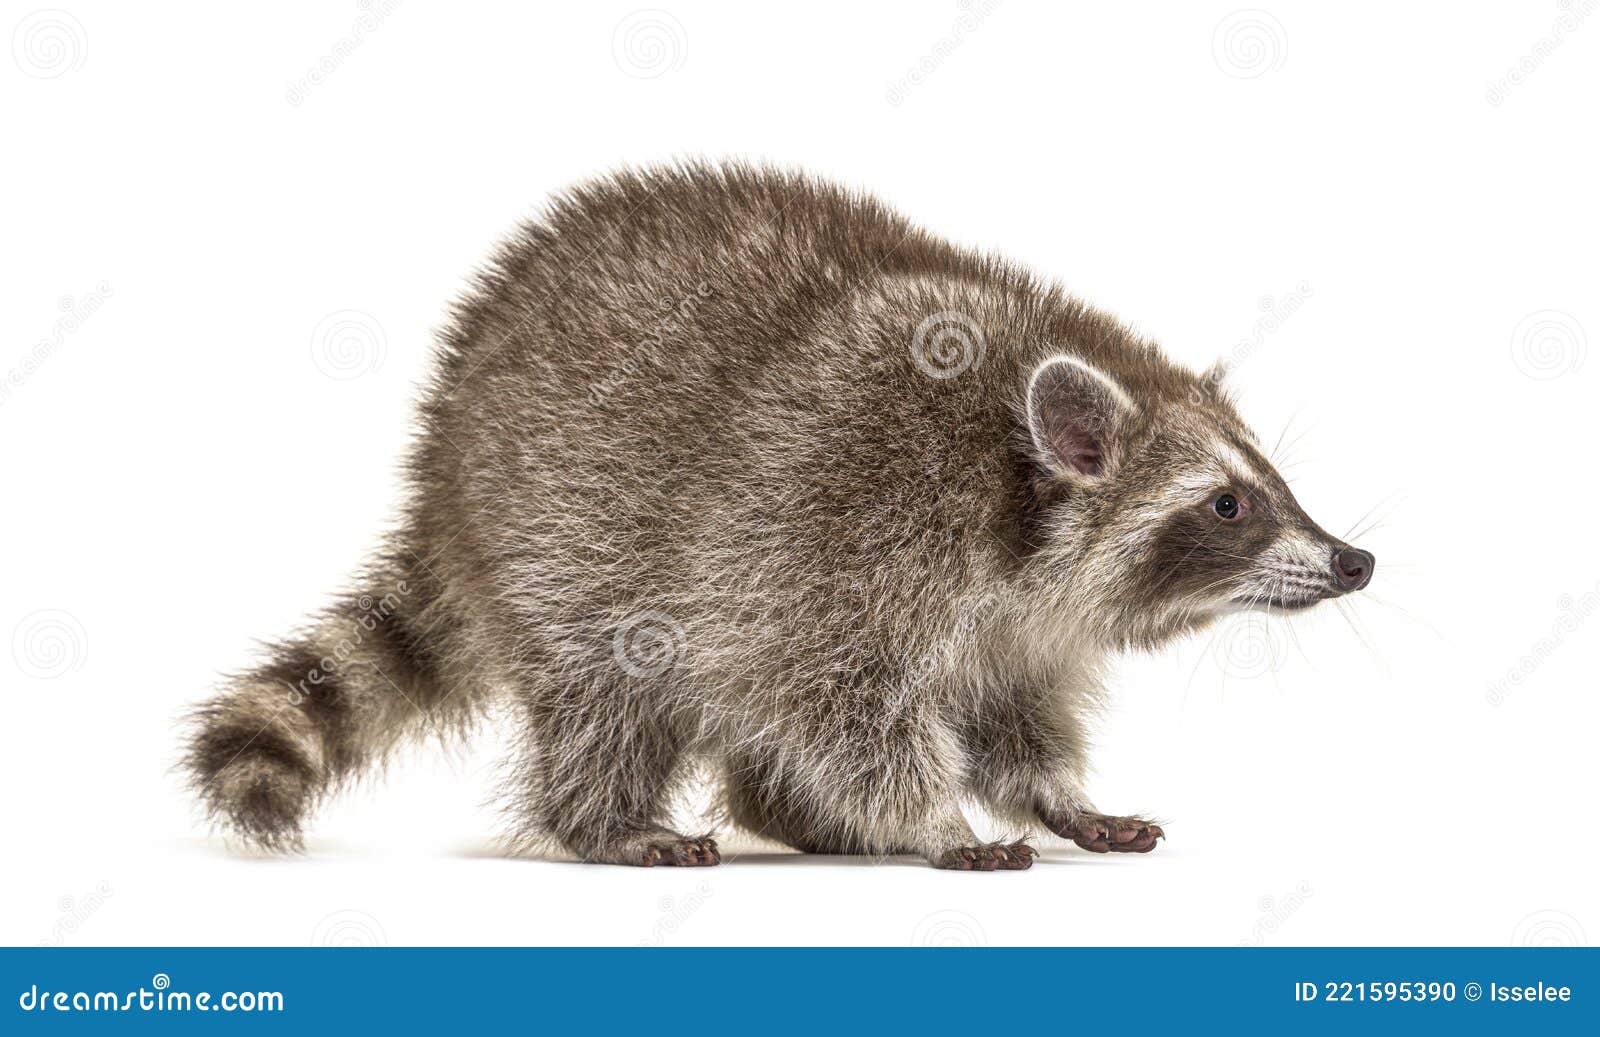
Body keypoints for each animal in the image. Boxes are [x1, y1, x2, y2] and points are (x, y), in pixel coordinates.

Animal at [182, 163, 1373, 869]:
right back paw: (605, 820)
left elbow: (1010, 715)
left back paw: (784, 814)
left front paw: (1055, 796)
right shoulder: (843, 533)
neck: (1017, 505)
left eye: (1271, 482)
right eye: (1228, 503)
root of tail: (439, 461)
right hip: (561, 538)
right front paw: (933, 817)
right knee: (607, 697)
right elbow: (841, 706)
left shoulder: (1014, 628)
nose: (1353, 560)